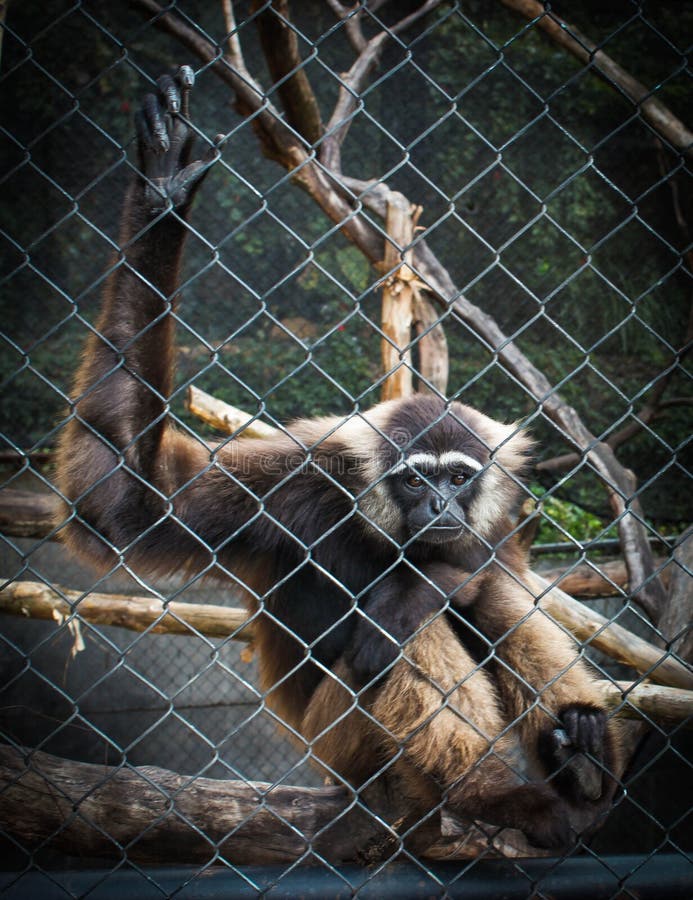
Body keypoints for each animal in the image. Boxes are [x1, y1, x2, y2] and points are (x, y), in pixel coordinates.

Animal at [55, 67, 622, 854]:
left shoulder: (496, 516)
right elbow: (124, 504)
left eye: (458, 477)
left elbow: (490, 579)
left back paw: (583, 770)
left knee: (491, 602)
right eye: (414, 478)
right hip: (340, 749)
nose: (440, 506)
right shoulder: (290, 489)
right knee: (407, 626)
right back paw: (494, 793)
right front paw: (160, 195)